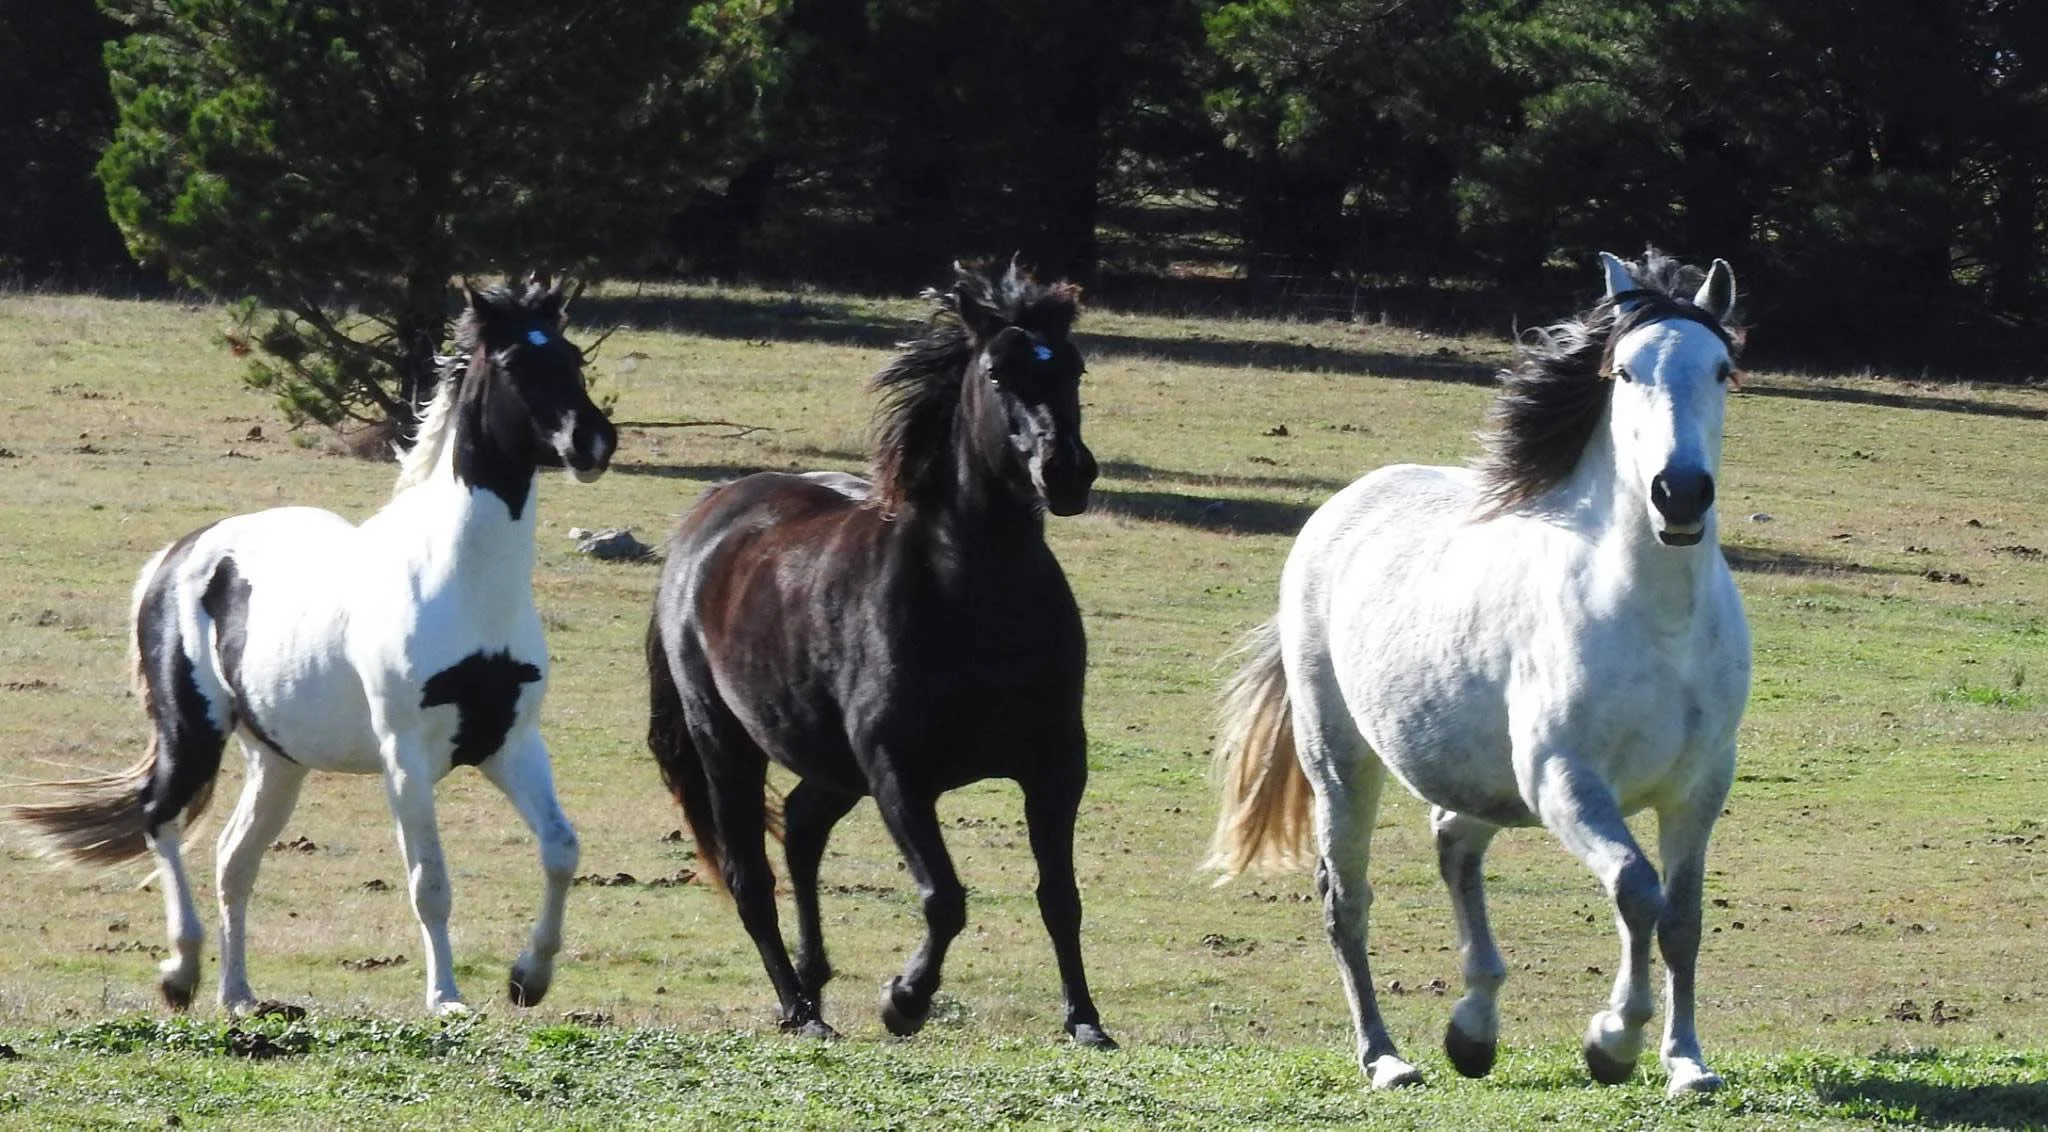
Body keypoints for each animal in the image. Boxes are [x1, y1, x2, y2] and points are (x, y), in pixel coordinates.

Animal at [5, 279, 615, 1017]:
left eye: (573, 356)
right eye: (513, 363)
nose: (593, 442)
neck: (460, 578)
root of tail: (178, 556)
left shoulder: (511, 741)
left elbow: (561, 848)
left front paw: (529, 977)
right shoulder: (405, 757)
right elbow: (430, 882)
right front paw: (445, 997)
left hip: (278, 761)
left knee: (234, 859)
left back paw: (239, 996)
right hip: (194, 732)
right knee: (162, 820)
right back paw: (181, 972)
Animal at [645, 263, 1114, 1047]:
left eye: (1073, 367)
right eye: (998, 371)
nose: (1066, 472)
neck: (975, 598)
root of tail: (699, 529)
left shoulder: (1056, 764)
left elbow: (1061, 896)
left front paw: (1085, 1021)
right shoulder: (897, 770)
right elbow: (944, 896)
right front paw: (904, 1000)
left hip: (833, 766)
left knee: (801, 831)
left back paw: (813, 983)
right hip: (727, 744)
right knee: (751, 877)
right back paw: (801, 1011)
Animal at [1207, 250, 1748, 1096]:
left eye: (1722, 369)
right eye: (1625, 371)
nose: (1680, 492)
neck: (1656, 618)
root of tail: (1344, 507)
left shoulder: (1699, 787)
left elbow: (1682, 919)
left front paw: (1687, 1063)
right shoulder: (1564, 779)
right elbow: (1636, 889)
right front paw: (1612, 1041)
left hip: (1482, 780)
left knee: (1453, 842)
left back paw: (1472, 1031)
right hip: (1342, 762)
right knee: (1346, 899)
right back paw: (1387, 1058)